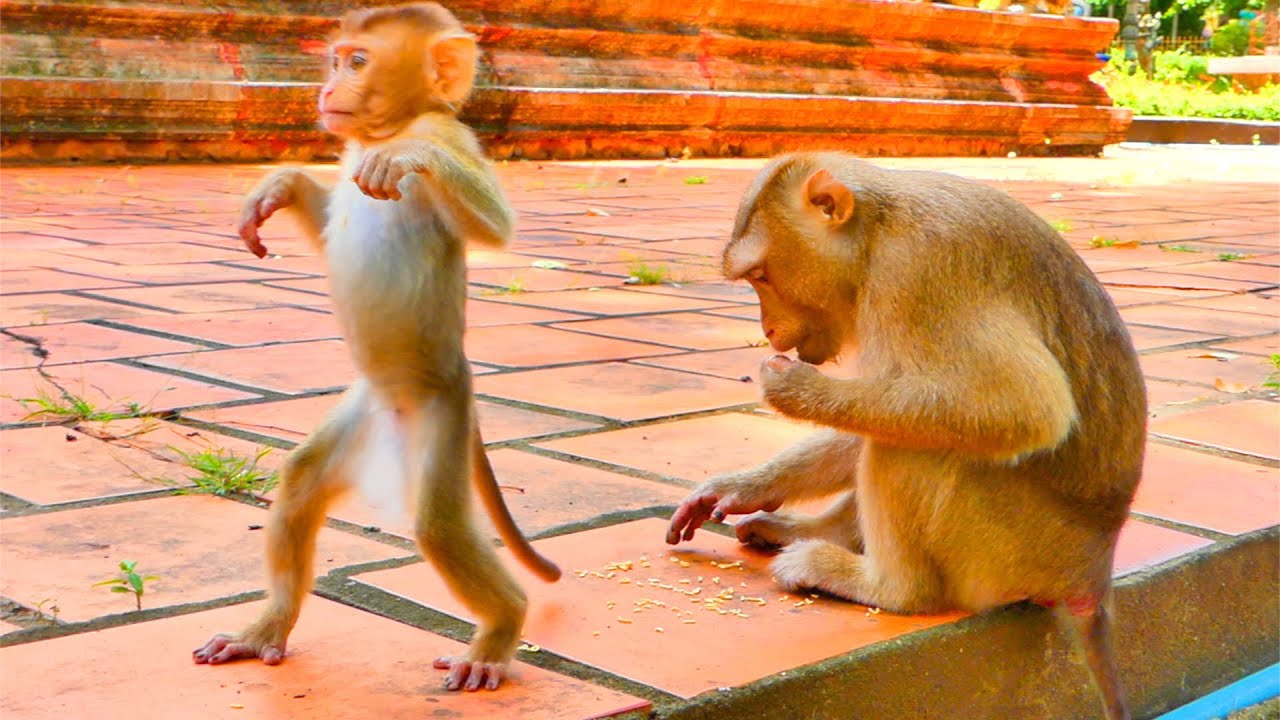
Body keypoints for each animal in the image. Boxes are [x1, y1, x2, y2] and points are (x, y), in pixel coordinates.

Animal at [192, 3, 560, 692]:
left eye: (358, 63)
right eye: (335, 60)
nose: (327, 90)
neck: (383, 128)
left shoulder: (450, 137)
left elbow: (494, 223)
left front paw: (406, 156)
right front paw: (281, 185)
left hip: (443, 416)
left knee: (439, 528)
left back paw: (496, 636)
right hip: (363, 412)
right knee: (301, 480)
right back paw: (267, 627)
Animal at [666, 152, 1144, 720]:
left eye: (760, 276)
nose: (768, 330)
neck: (876, 235)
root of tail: (1091, 578)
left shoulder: (917, 276)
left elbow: (1027, 407)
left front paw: (794, 391)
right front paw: (743, 486)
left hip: (1011, 554)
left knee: (912, 447)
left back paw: (888, 588)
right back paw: (814, 531)